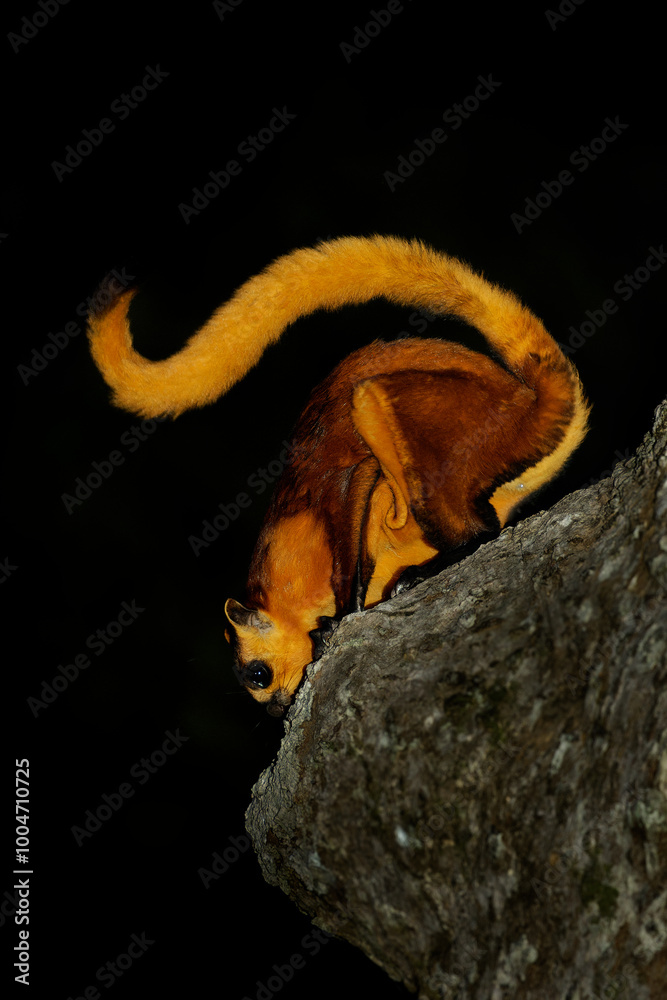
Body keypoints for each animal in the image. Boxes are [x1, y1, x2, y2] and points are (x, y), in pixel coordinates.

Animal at [87, 235, 589, 715]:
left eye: (258, 676)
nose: (275, 710)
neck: (284, 598)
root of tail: (531, 402)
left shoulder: (333, 509)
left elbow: (350, 531)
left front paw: (341, 617)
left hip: (396, 409)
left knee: (477, 527)